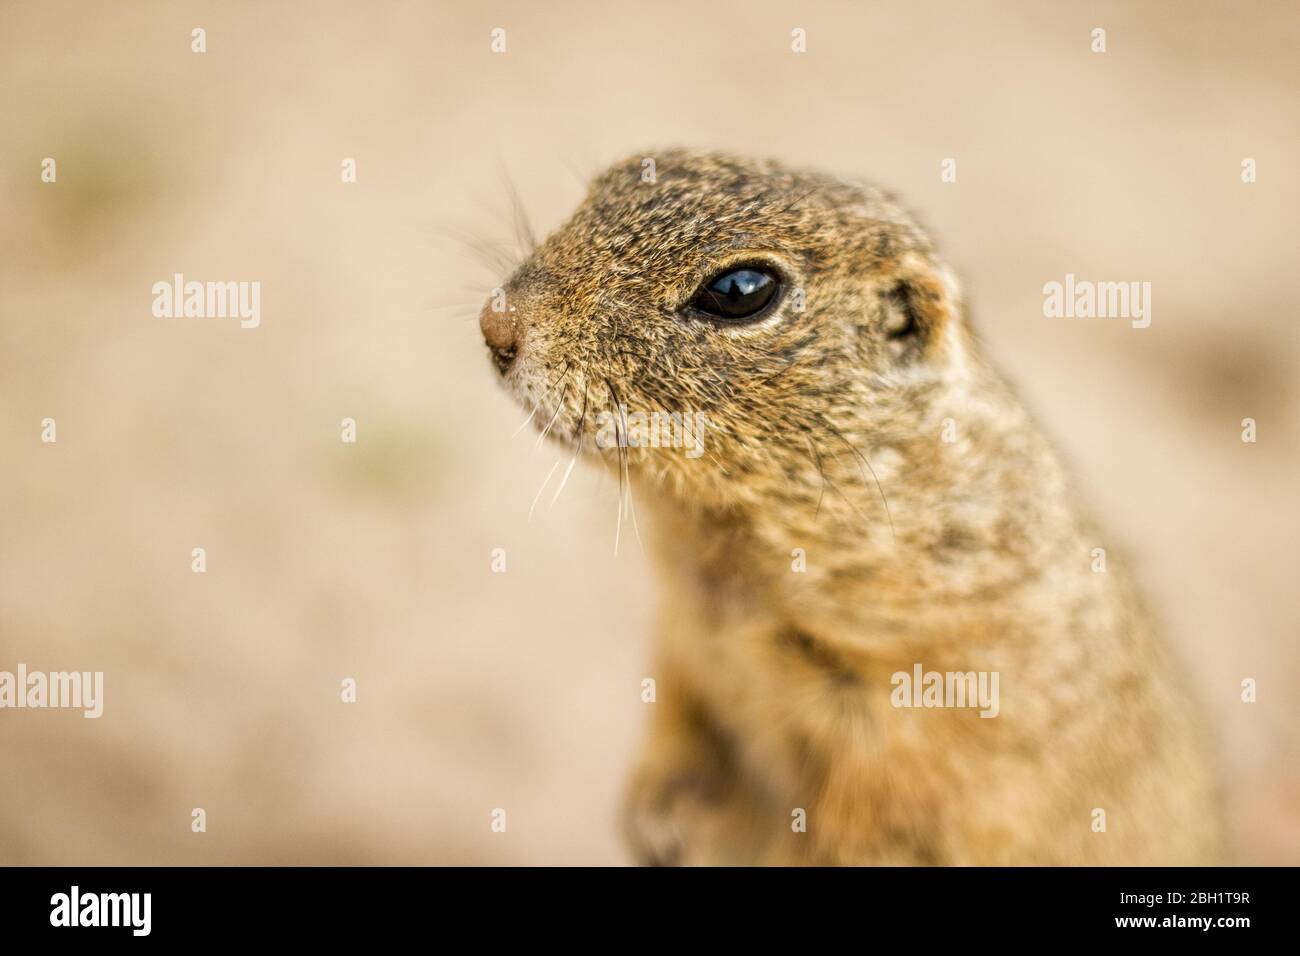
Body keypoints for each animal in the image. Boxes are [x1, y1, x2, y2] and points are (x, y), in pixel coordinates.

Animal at [480, 149, 1222, 865]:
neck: (720, 562)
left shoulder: (929, 714)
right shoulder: (682, 634)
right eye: (608, 180)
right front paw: (656, 810)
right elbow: (675, 709)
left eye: (740, 291)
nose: (497, 324)